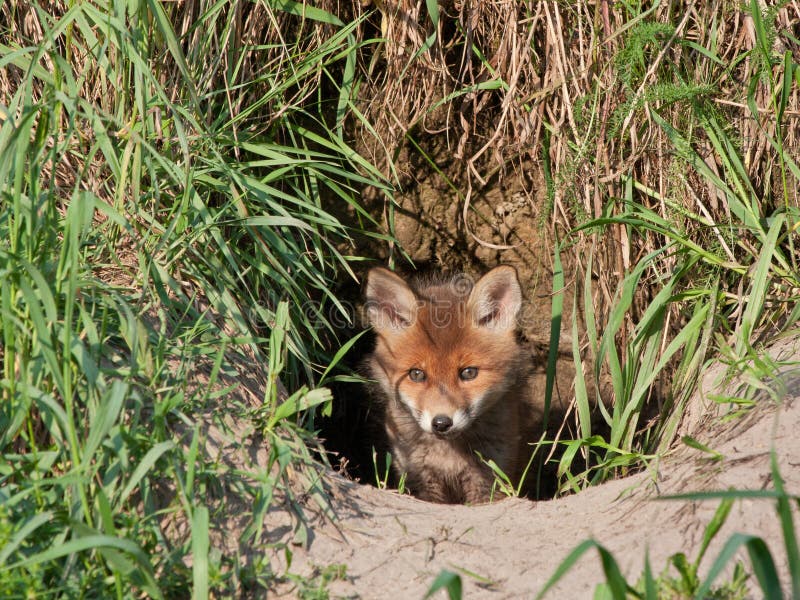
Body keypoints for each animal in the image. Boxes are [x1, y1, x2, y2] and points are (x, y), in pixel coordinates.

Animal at [363, 265, 534, 504]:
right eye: (416, 374)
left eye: (468, 372)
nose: (442, 423)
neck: (449, 456)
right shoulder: (420, 477)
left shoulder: (490, 477)